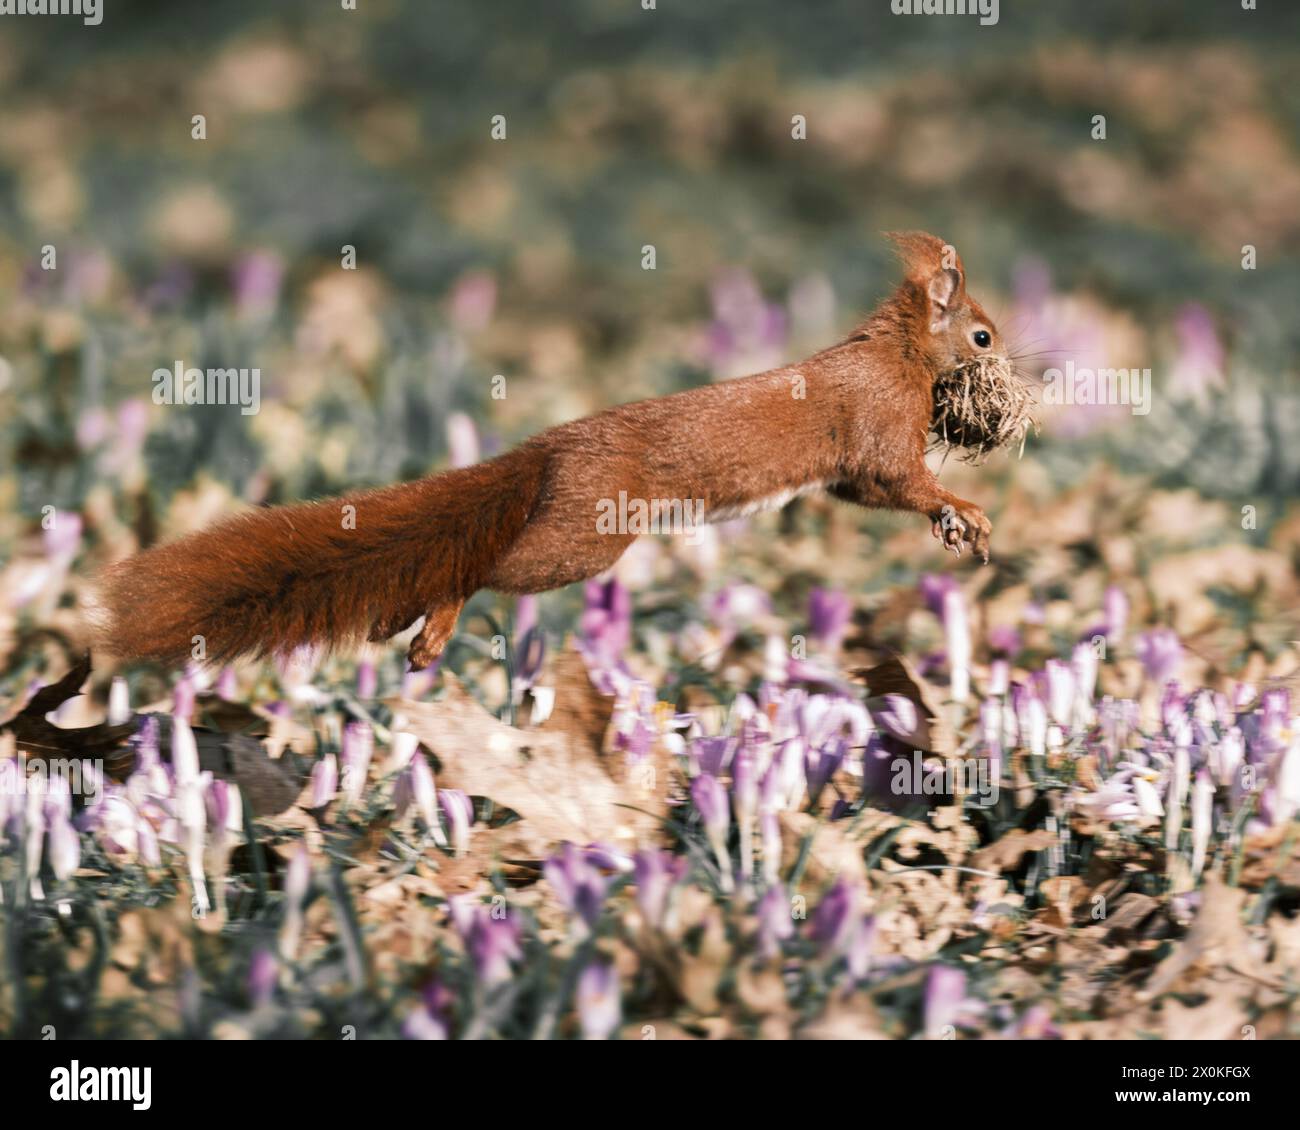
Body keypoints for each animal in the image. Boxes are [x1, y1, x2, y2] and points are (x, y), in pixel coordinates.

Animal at [93, 231, 1004, 672]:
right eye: (985, 335)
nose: (1014, 372)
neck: (893, 352)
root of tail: (548, 449)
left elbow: (864, 490)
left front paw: (958, 523)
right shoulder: (878, 418)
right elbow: (896, 476)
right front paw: (966, 509)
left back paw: (397, 621)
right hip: (584, 538)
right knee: (483, 569)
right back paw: (429, 628)